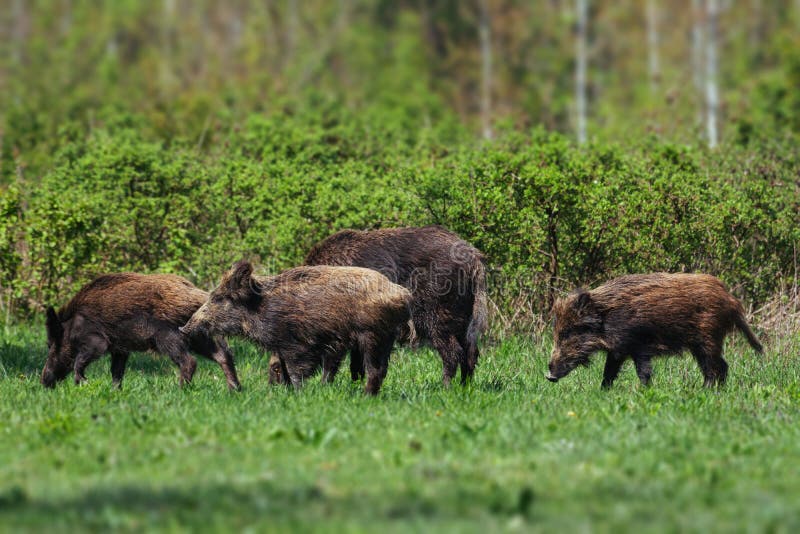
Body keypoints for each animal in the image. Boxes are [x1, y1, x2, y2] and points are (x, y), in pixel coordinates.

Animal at [41, 273, 241, 390]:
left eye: (51, 344)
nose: (44, 381)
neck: (71, 326)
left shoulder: (97, 341)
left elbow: (80, 361)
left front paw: (82, 383)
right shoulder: (120, 349)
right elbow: (116, 371)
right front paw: (115, 392)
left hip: (169, 337)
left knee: (190, 361)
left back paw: (181, 390)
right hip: (197, 335)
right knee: (223, 355)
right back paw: (235, 389)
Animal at [180, 261, 412, 395]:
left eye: (218, 298)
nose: (183, 328)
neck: (260, 308)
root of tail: (402, 293)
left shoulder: (297, 346)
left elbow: (294, 371)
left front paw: (299, 394)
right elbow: (284, 367)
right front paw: (288, 393)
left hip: (372, 335)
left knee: (374, 369)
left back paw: (365, 396)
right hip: (383, 338)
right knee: (378, 369)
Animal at [304, 225, 487, 385]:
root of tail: (474, 258)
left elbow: (334, 357)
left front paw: (325, 385)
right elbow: (356, 363)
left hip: (437, 312)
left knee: (452, 351)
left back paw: (445, 386)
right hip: (463, 314)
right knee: (470, 351)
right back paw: (464, 385)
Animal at [546, 273, 763, 388]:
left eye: (569, 332)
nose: (549, 376)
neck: (606, 317)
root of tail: (732, 301)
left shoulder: (639, 346)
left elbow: (643, 372)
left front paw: (645, 391)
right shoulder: (619, 350)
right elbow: (609, 372)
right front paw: (602, 392)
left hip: (708, 339)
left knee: (715, 368)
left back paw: (705, 391)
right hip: (702, 344)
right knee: (721, 366)